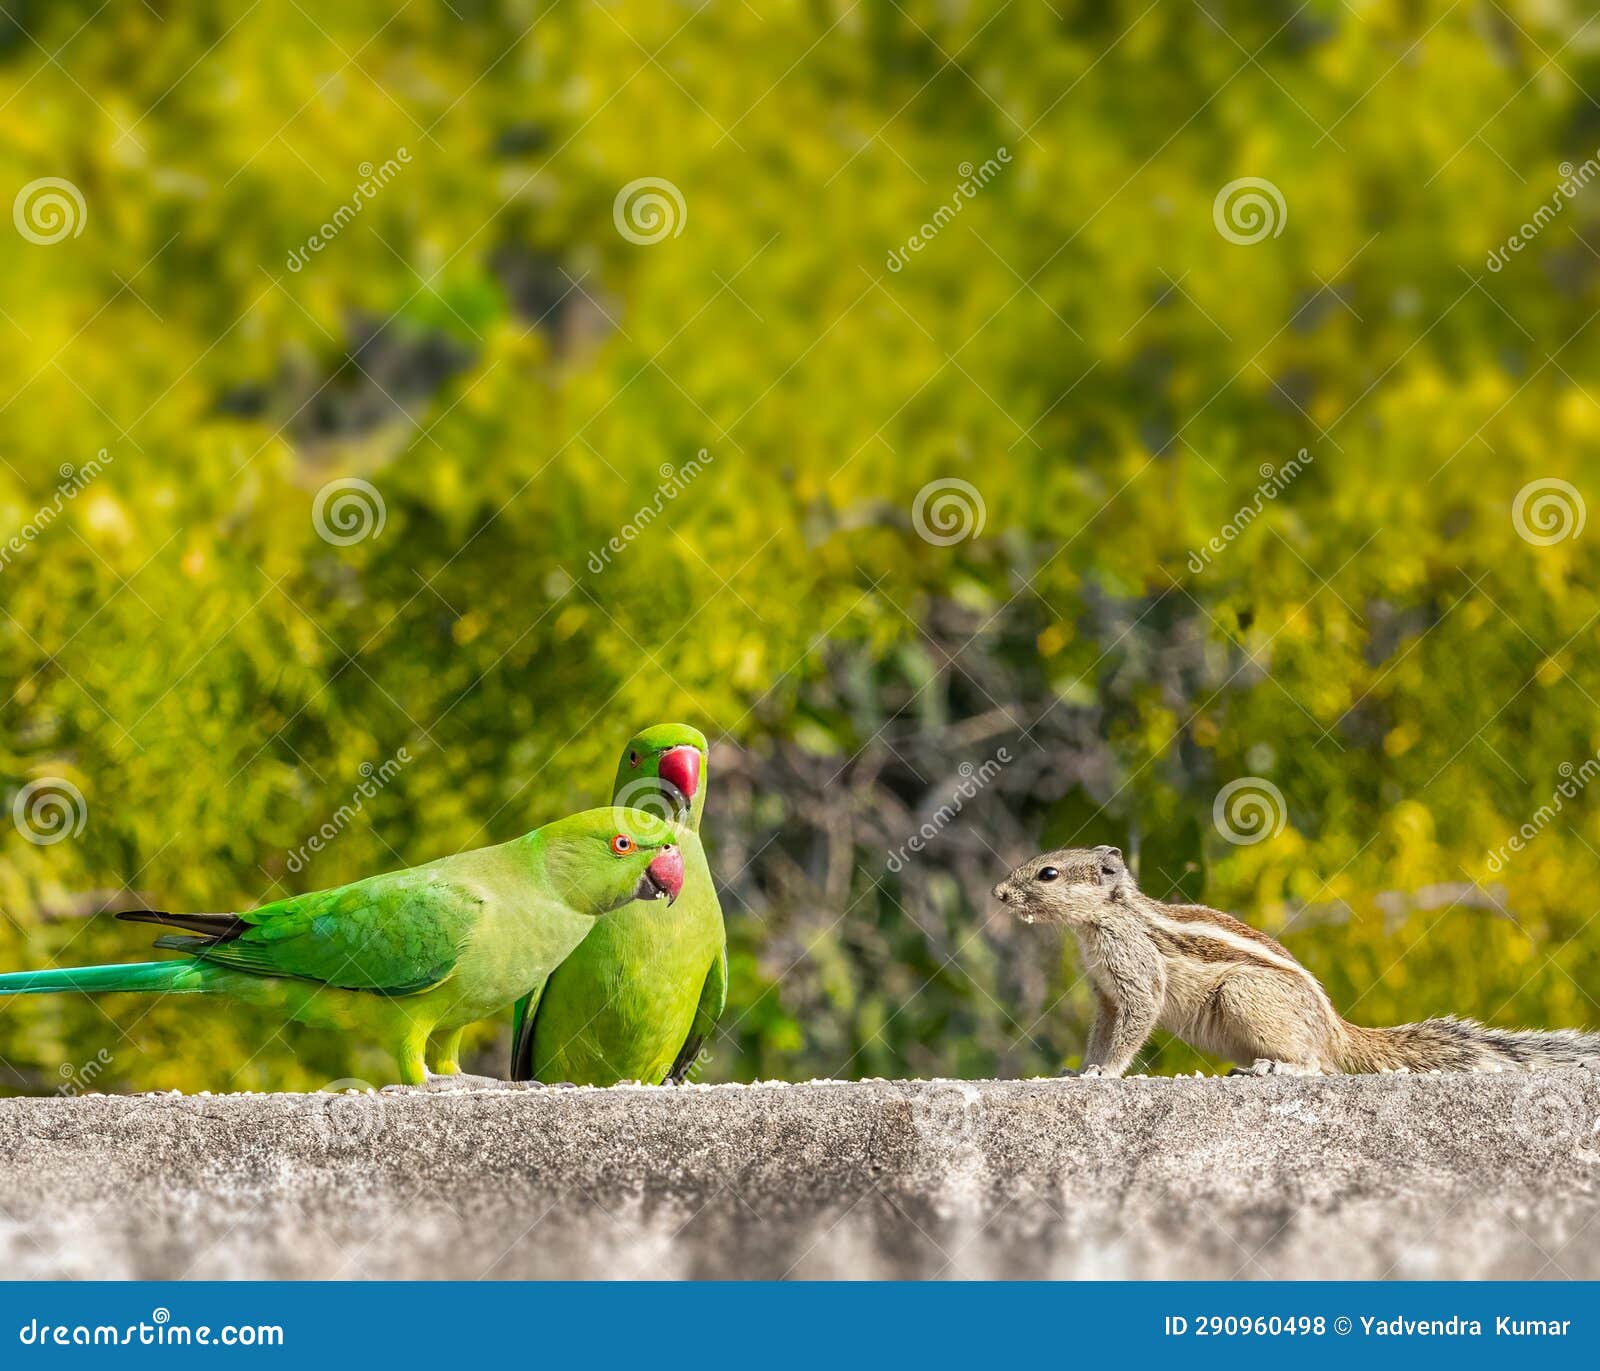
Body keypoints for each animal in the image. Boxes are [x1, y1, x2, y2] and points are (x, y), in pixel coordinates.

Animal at [993, 844, 1600, 1077]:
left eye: (1048, 873)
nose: (998, 893)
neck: (1101, 922)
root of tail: (1337, 1031)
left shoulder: (1136, 978)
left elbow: (1134, 1025)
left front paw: (1106, 1073)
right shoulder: (1104, 994)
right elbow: (1102, 1031)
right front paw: (1080, 1070)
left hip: (1244, 995)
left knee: (1318, 1066)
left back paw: (1279, 1068)